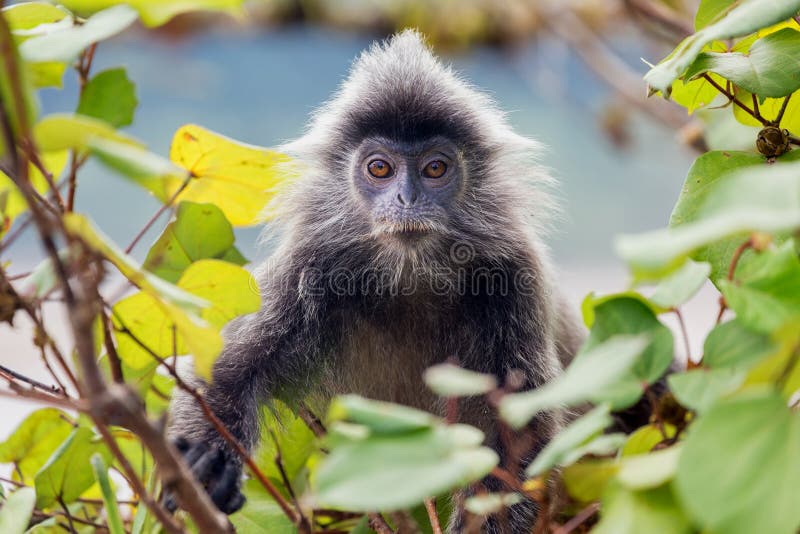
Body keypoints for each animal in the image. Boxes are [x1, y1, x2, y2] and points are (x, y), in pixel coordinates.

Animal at [166, 30, 587, 533]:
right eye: (380, 168)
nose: (407, 199)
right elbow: (224, 371)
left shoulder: (515, 274)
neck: (411, 275)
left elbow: (520, 440)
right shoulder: (307, 264)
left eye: (435, 168)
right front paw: (210, 463)